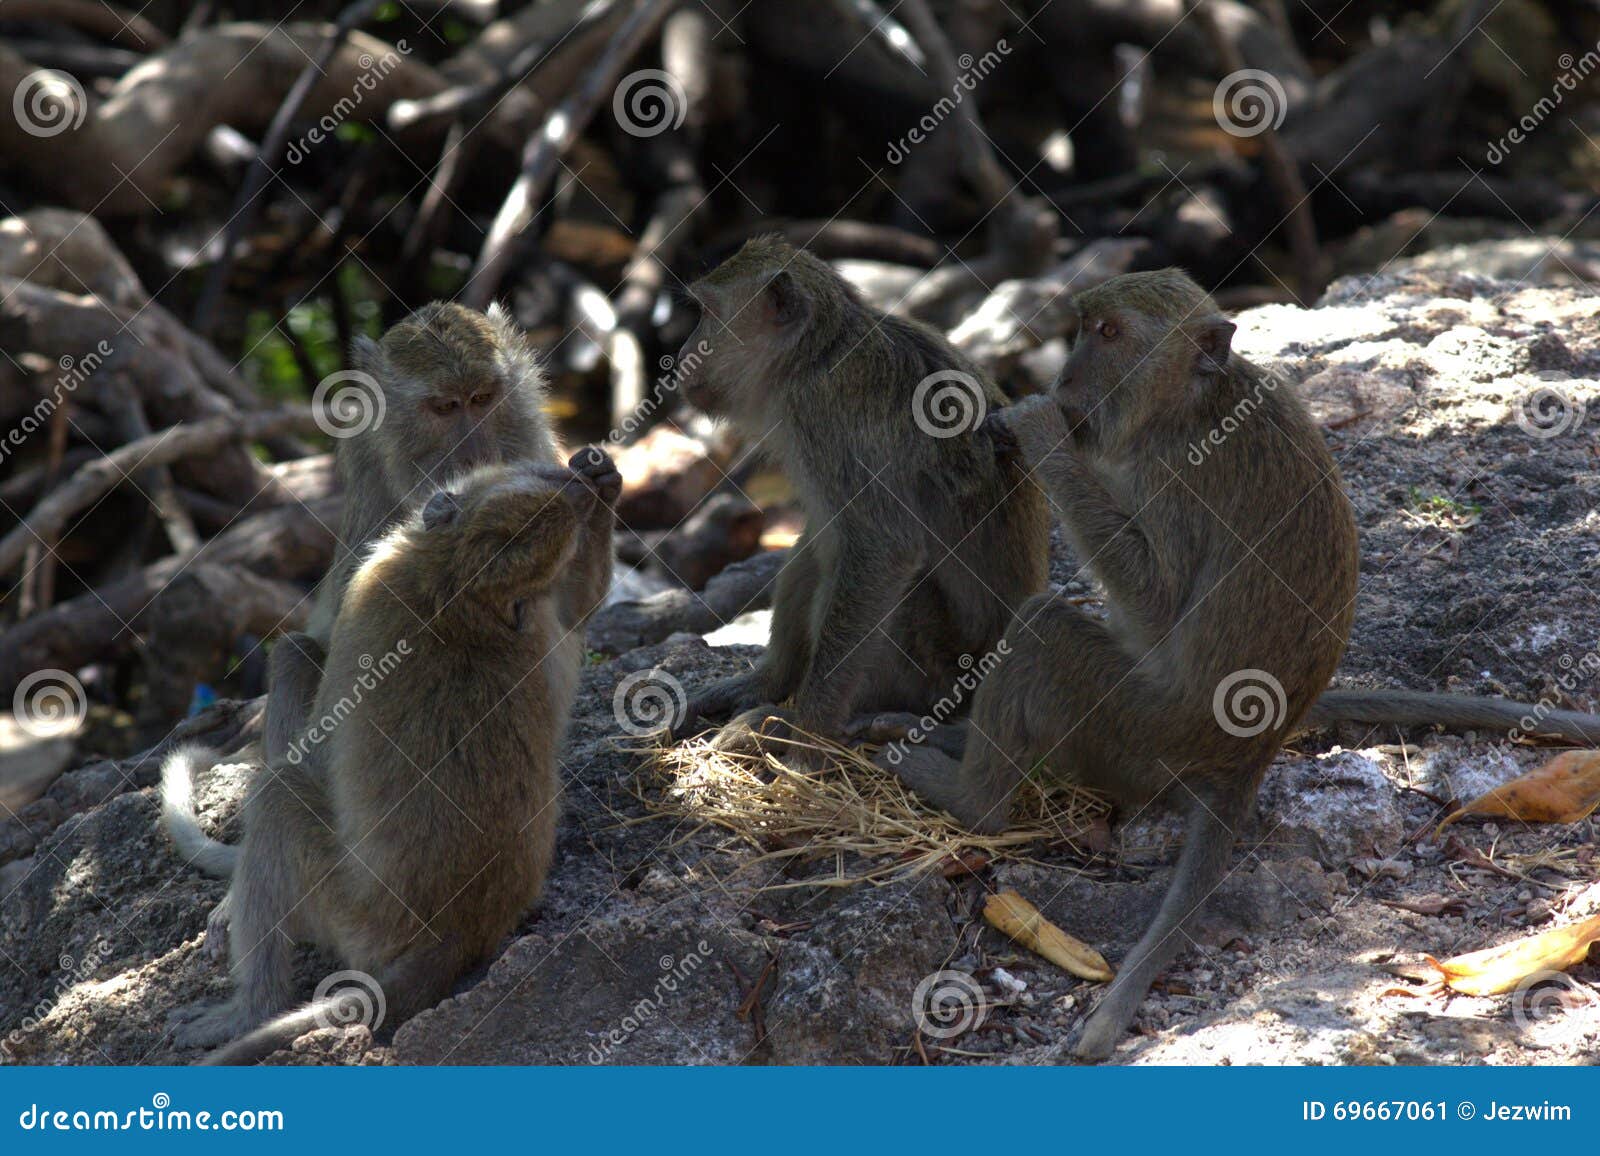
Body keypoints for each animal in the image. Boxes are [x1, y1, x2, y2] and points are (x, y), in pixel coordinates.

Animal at [160, 449, 620, 1064]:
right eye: (540, 481)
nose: (572, 481)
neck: (458, 586)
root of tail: (459, 933)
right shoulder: (529, 615)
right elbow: (574, 613)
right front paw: (602, 491)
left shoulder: (370, 591)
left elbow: (316, 753)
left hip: (351, 916)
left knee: (283, 782)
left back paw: (248, 1010)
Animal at [671, 236, 1049, 744]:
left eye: (709, 313)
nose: (683, 353)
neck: (816, 355)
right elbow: (821, 537)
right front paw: (768, 683)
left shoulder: (824, 415)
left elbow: (884, 550)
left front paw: (806, 729)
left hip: (938, 667)